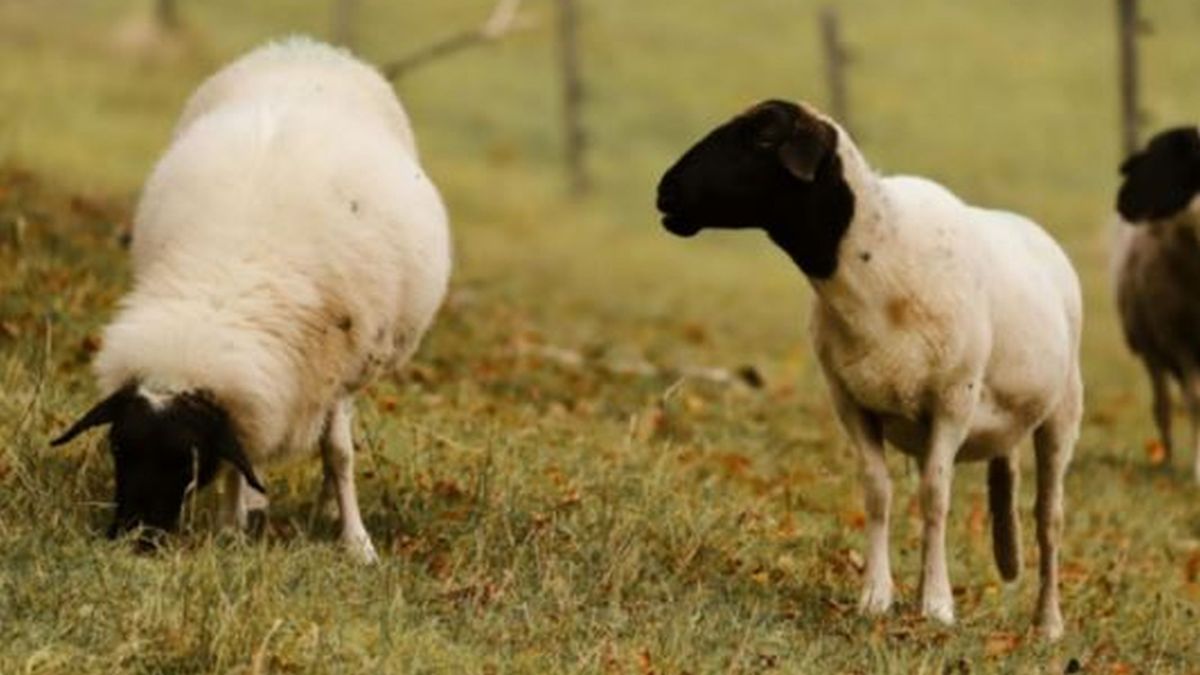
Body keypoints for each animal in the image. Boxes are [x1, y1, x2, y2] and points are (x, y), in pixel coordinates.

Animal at [51, 37, 451, 562]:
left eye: (187, 457)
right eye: (118, 448)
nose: (135, 538)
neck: (221, 294)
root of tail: (307, 49)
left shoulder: (336, 365)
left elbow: (338, 454)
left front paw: (357, 543)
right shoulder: (251, 388)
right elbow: (239, 459)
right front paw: (231, 525)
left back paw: (326, 505)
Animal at [655, 100, 1083, 639]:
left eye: (762, 138)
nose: (665, 190)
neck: (876, 258)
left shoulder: (954, 398)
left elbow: (935, 497)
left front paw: (937, 605)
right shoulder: (851, 401)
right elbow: (878, 493)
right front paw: (877, 597)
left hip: (1063, 411)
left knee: (1050, 518)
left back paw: (1048, 623)